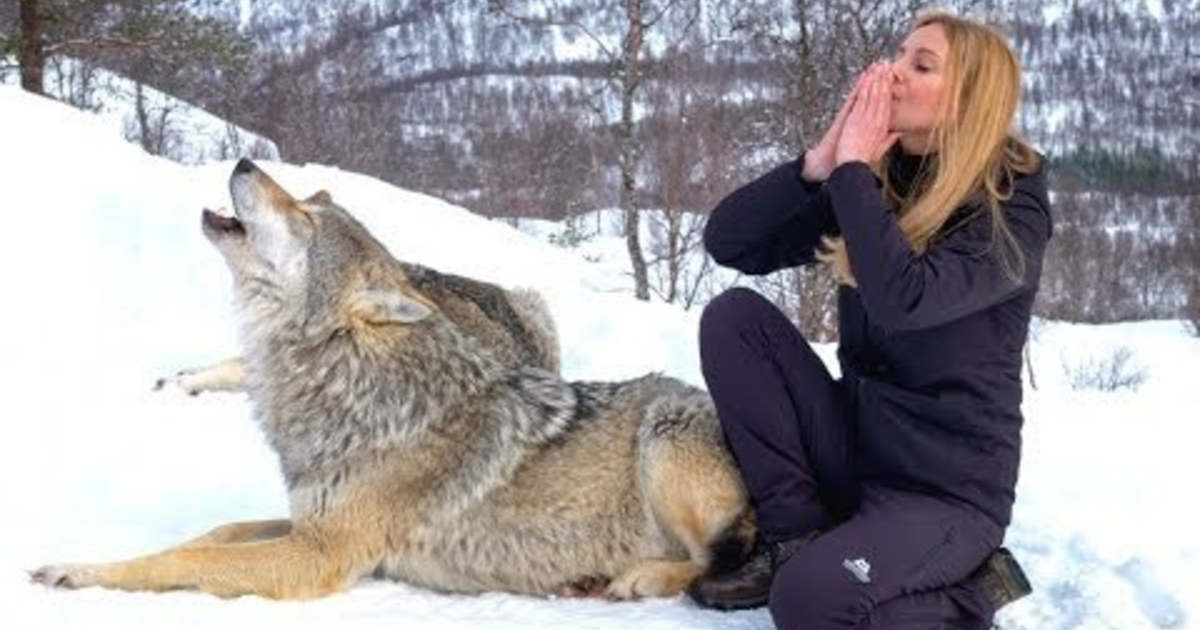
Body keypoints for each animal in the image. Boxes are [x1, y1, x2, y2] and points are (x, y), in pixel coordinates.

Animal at [31, 159, 750, 601]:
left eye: (306, 218)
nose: (244, 163)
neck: (346, 388)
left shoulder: (319, 553)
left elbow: (189, 561)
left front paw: (76, 573)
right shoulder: (310, 522)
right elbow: (212, 535)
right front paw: (83, 565)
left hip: (664, 434)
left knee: (716, 558)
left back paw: (638, 579)